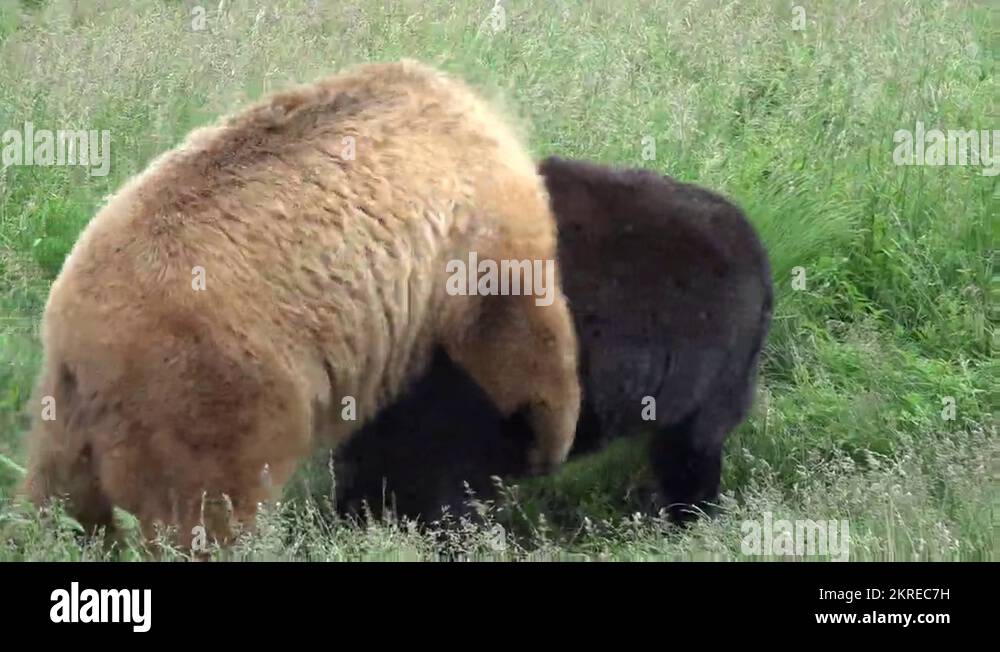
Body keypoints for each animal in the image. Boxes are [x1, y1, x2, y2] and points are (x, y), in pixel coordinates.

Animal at [21, 60, 581, 547]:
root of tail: (74, 337)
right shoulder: (475, 240)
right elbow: (518, 335)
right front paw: (549, 439)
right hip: (210, 386)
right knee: (207, 509)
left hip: (69, 414)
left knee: (61, 500)